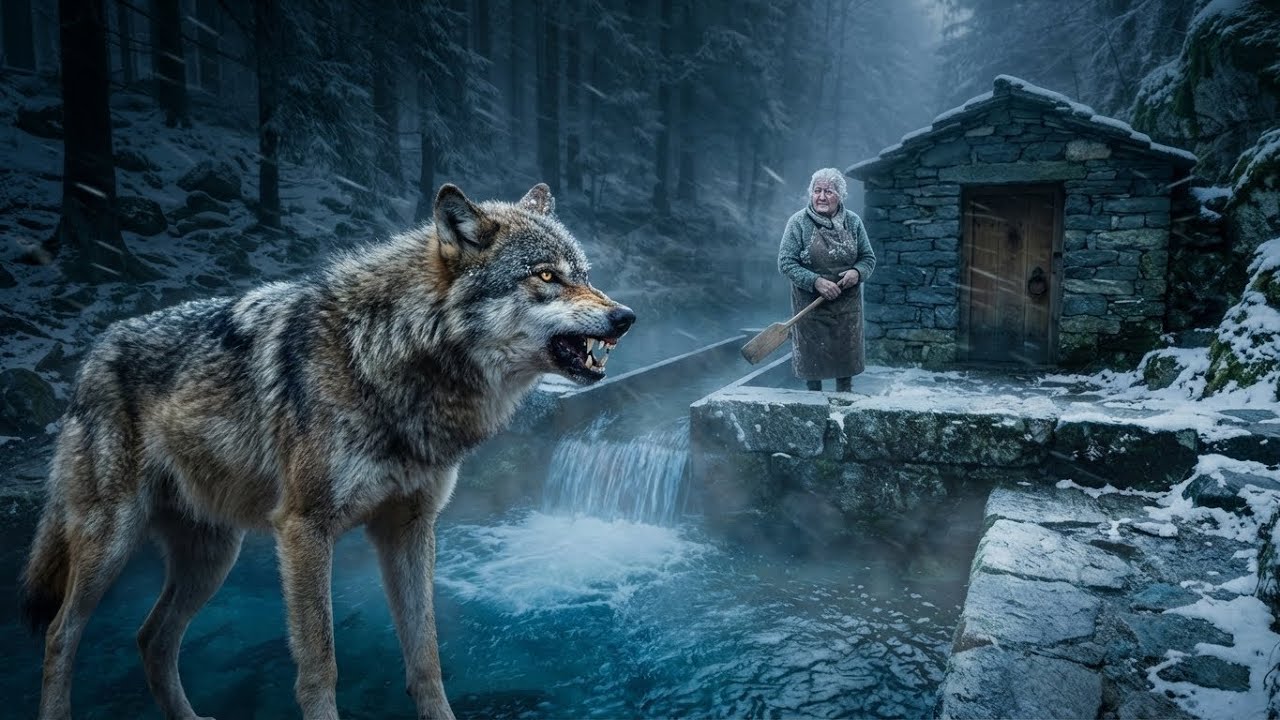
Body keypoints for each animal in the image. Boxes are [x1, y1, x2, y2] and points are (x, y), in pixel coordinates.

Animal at [19, 183, 635, 720]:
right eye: (547, 276)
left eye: (584, 275)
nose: (626, 318)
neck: (389, 355)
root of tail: (93, 352)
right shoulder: (304, 529)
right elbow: (320, 665)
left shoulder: (409, 526)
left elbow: (426, 656)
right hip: (112, 542)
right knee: (59, 636)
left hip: (213, 558)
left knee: (151, 638)